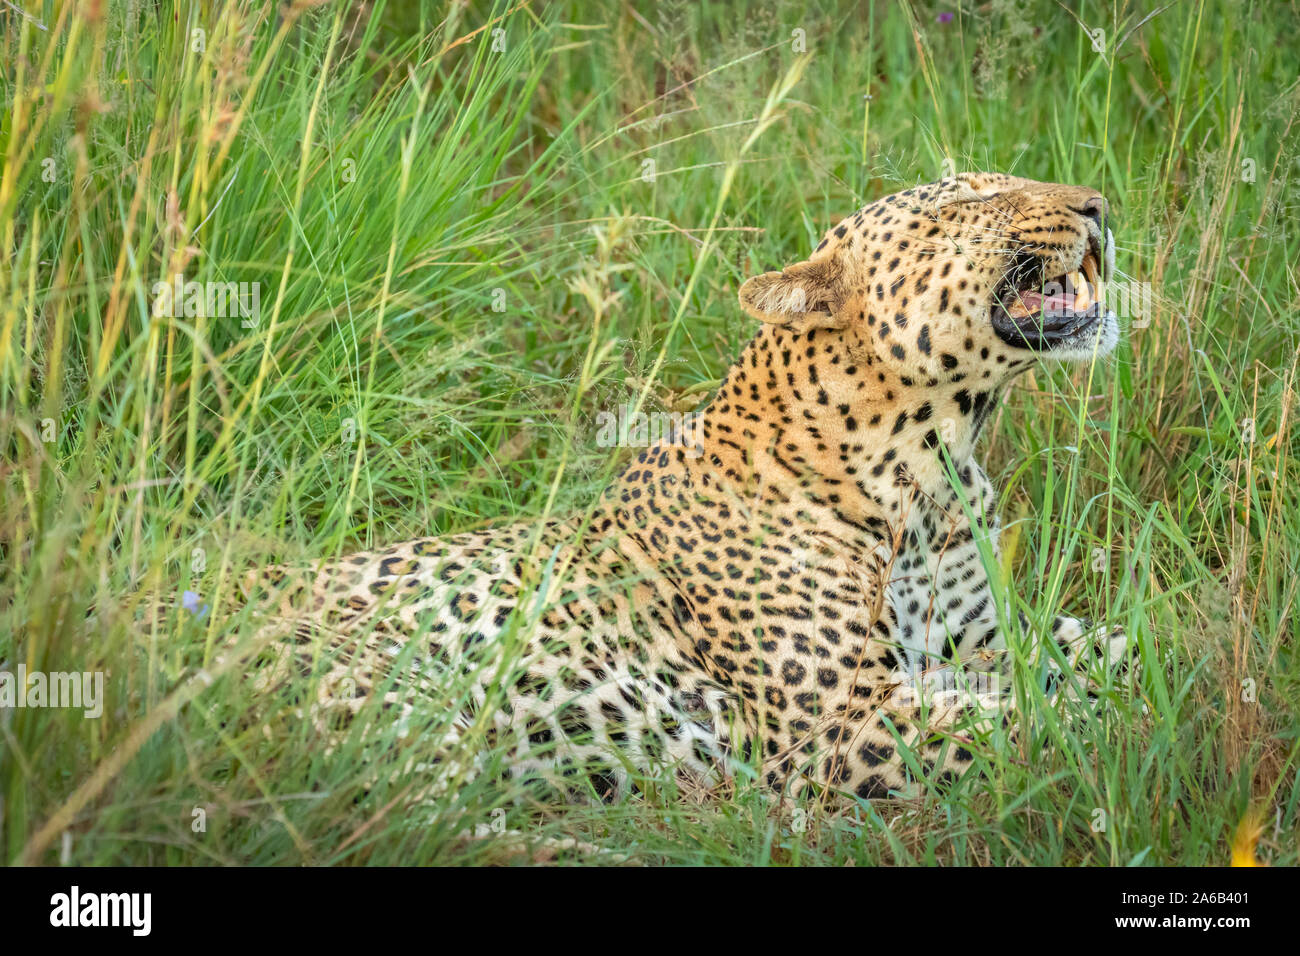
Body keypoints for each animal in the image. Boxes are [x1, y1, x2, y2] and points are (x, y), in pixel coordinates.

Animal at [231, 172, 1133, 804]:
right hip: (397, 707)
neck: (930, 467)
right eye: (971, 200)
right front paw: (1139, 740)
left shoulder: (985, 635)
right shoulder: (840, 724)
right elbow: (1045, 725)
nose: (1097, 205)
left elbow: (1112, 645)